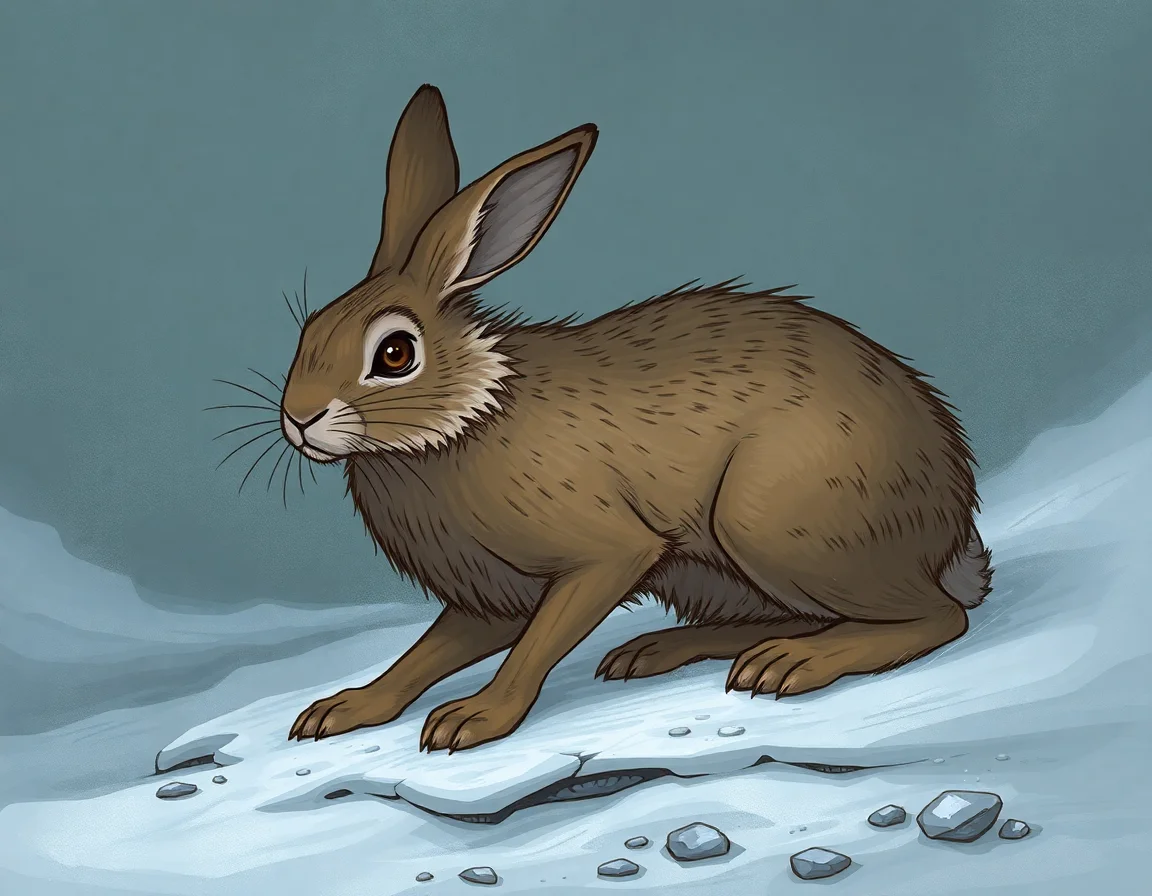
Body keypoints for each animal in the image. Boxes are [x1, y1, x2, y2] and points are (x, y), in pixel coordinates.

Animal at [278, 84, 991, 754]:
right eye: (309, 330)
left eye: (395, 354)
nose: (299, 418)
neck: (465, 415)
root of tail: (950, 532)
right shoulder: (487, 594)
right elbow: (424, 655)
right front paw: (342, 710)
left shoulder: (606, 556)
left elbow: (535, 645)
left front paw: (471, 720)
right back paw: (661, 652)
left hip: (770, 521)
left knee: (936, 619)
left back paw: (790, 666)